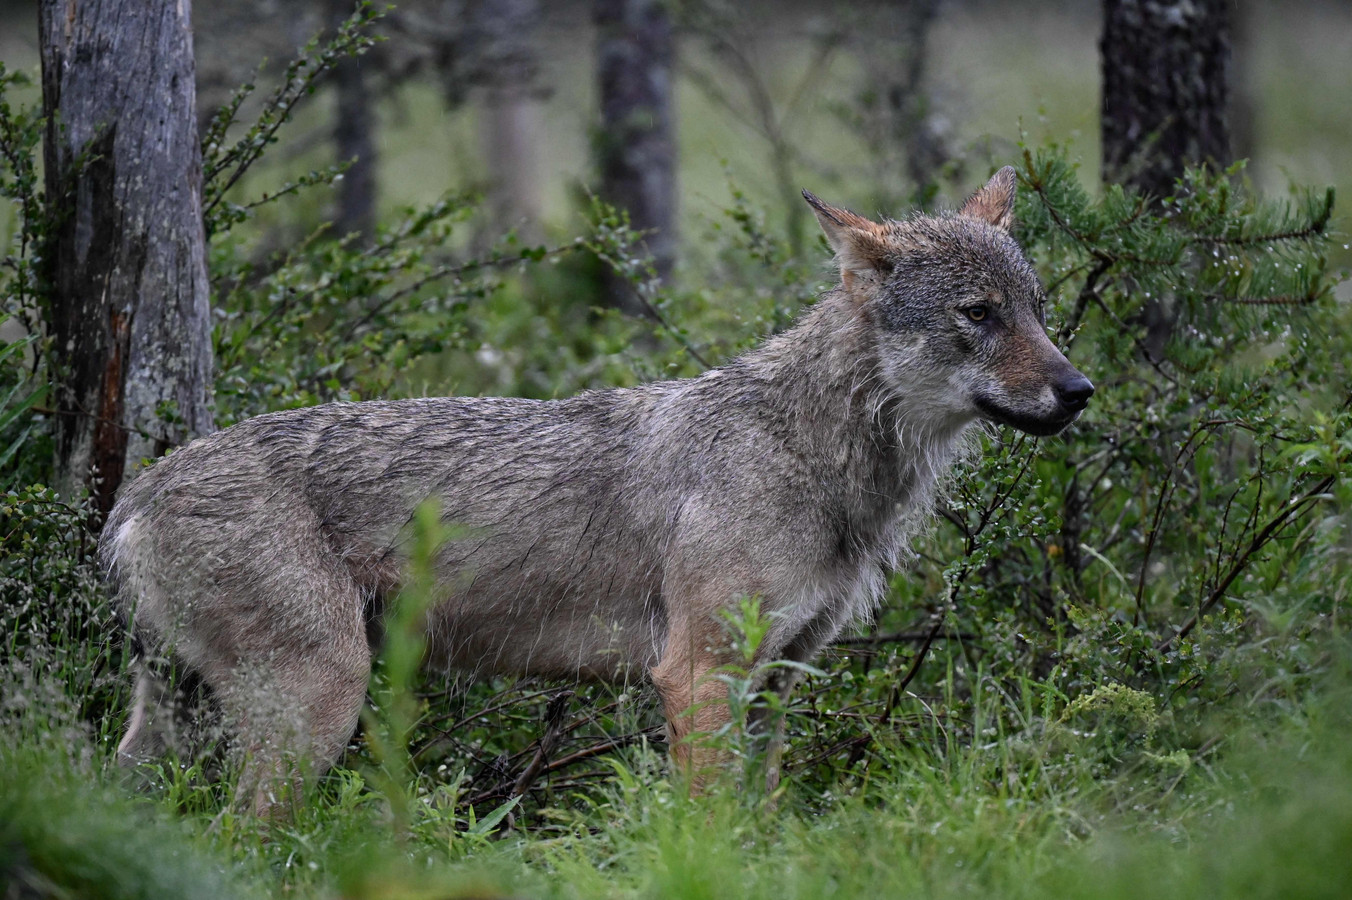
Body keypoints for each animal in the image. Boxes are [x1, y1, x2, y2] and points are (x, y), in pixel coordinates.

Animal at [102, 167, 1092, 812]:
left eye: (1039, 310)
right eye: (978, 315)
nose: (1080, 391)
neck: (814, 458)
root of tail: (137, 494)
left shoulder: (781, 680)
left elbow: (767, 827)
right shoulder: (699, 674)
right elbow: (713, 830)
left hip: (187, 726)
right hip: (320, 703)